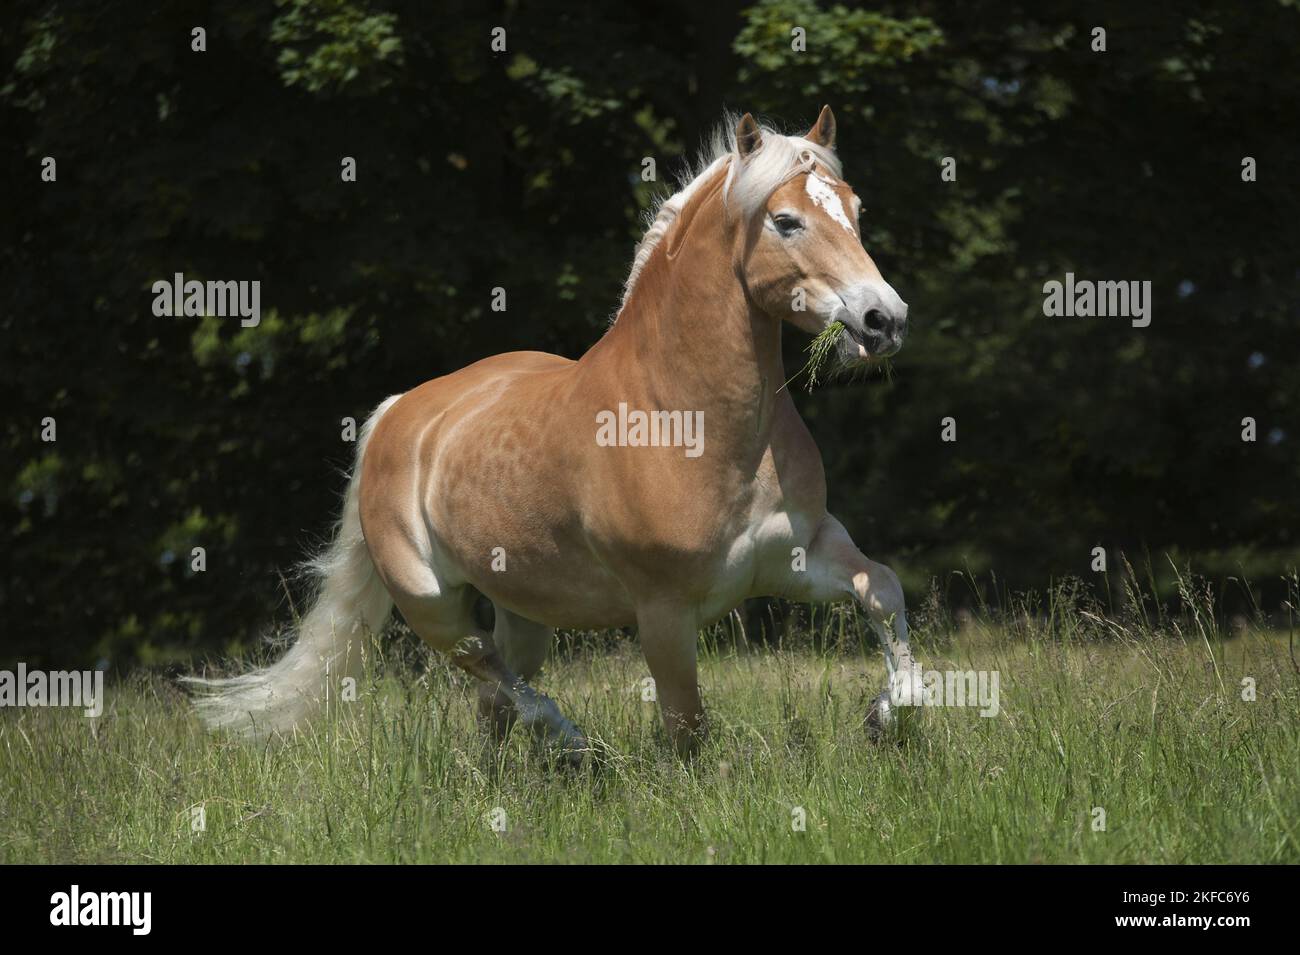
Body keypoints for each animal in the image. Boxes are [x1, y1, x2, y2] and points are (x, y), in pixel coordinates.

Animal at [187, 106, 923, 759]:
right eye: (786, 220)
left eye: (855, 210)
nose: (883, 319)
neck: (692, 420)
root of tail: (398, 414)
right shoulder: (662, 613)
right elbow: (687, 730)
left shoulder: (804, 553)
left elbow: (882, 589)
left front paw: (890, 714)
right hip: (431, 604)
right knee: (491, 672)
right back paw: (569, 744)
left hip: (524, 609)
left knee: (493, 703)